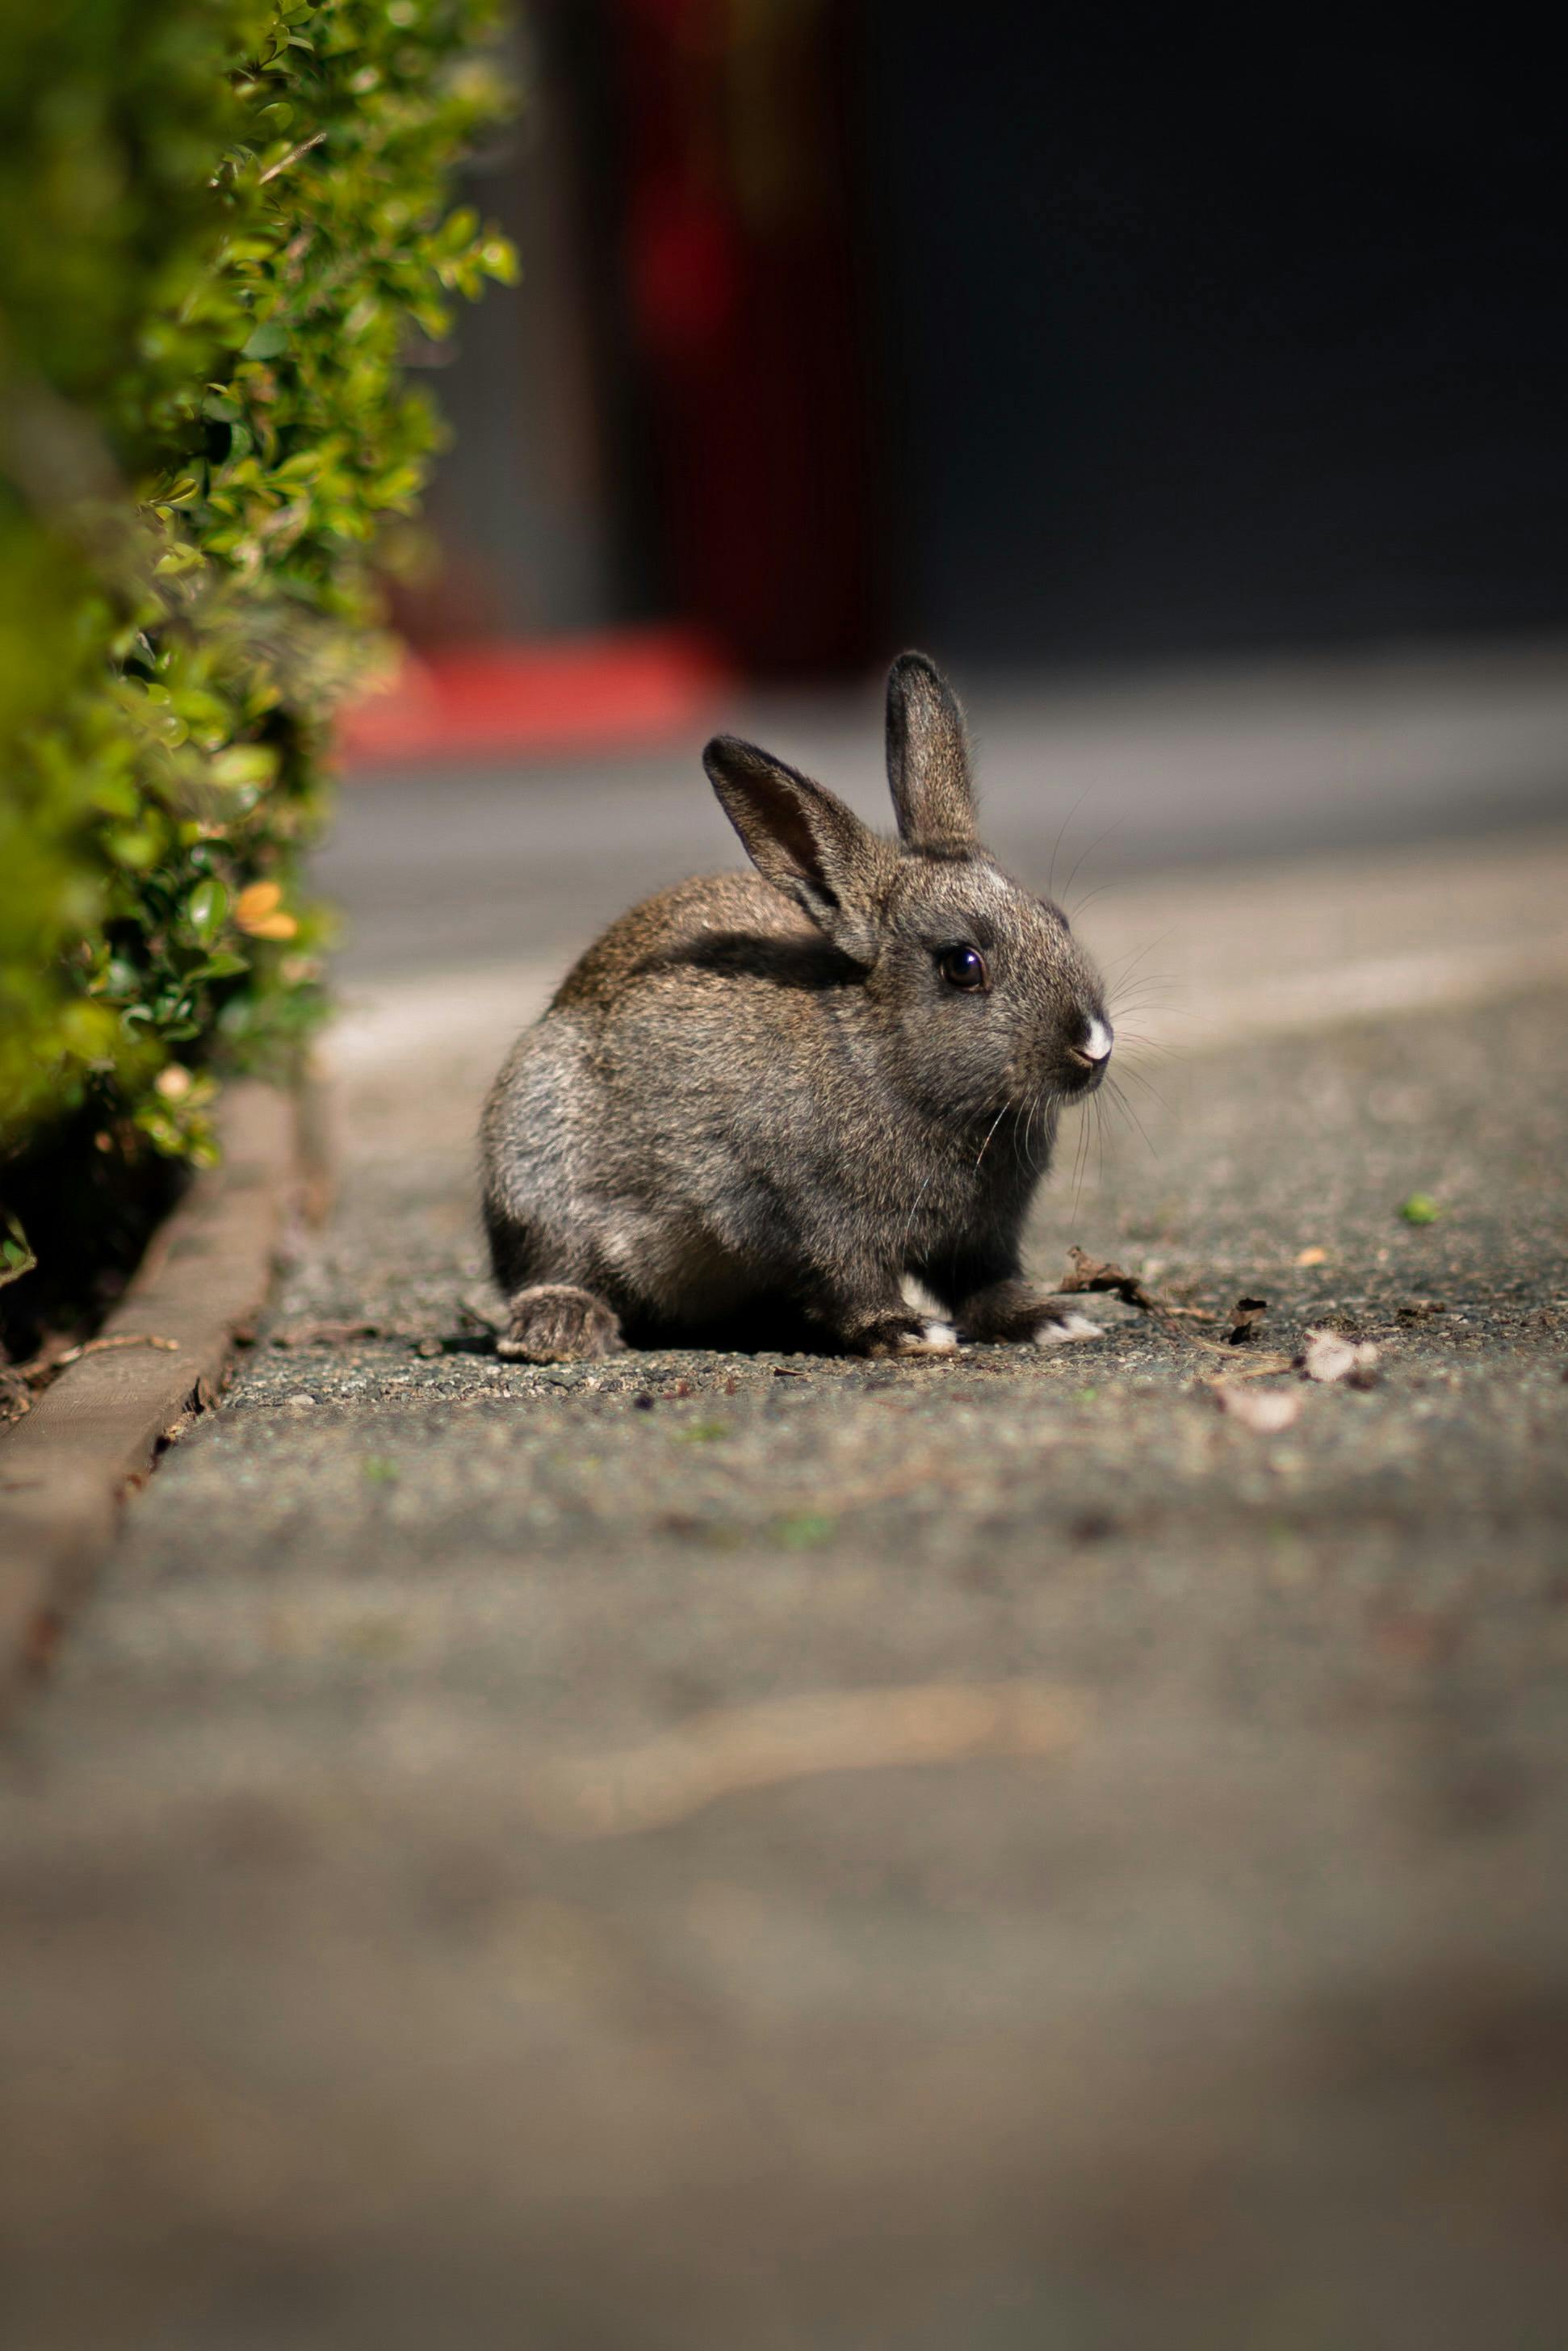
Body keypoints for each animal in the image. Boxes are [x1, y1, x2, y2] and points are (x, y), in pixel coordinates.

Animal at [480, 652, 1113, 1362]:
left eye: (1056, 919)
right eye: (962, 965)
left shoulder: (980, 1241)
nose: (1093, 1044)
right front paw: (907, 1332)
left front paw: (1051, 1320)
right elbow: (850, 1278)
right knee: (552, 1261)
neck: (881, 1058)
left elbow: (989, 1285)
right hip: (534, 1159)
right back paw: (561, 1325)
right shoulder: (801, 1215)